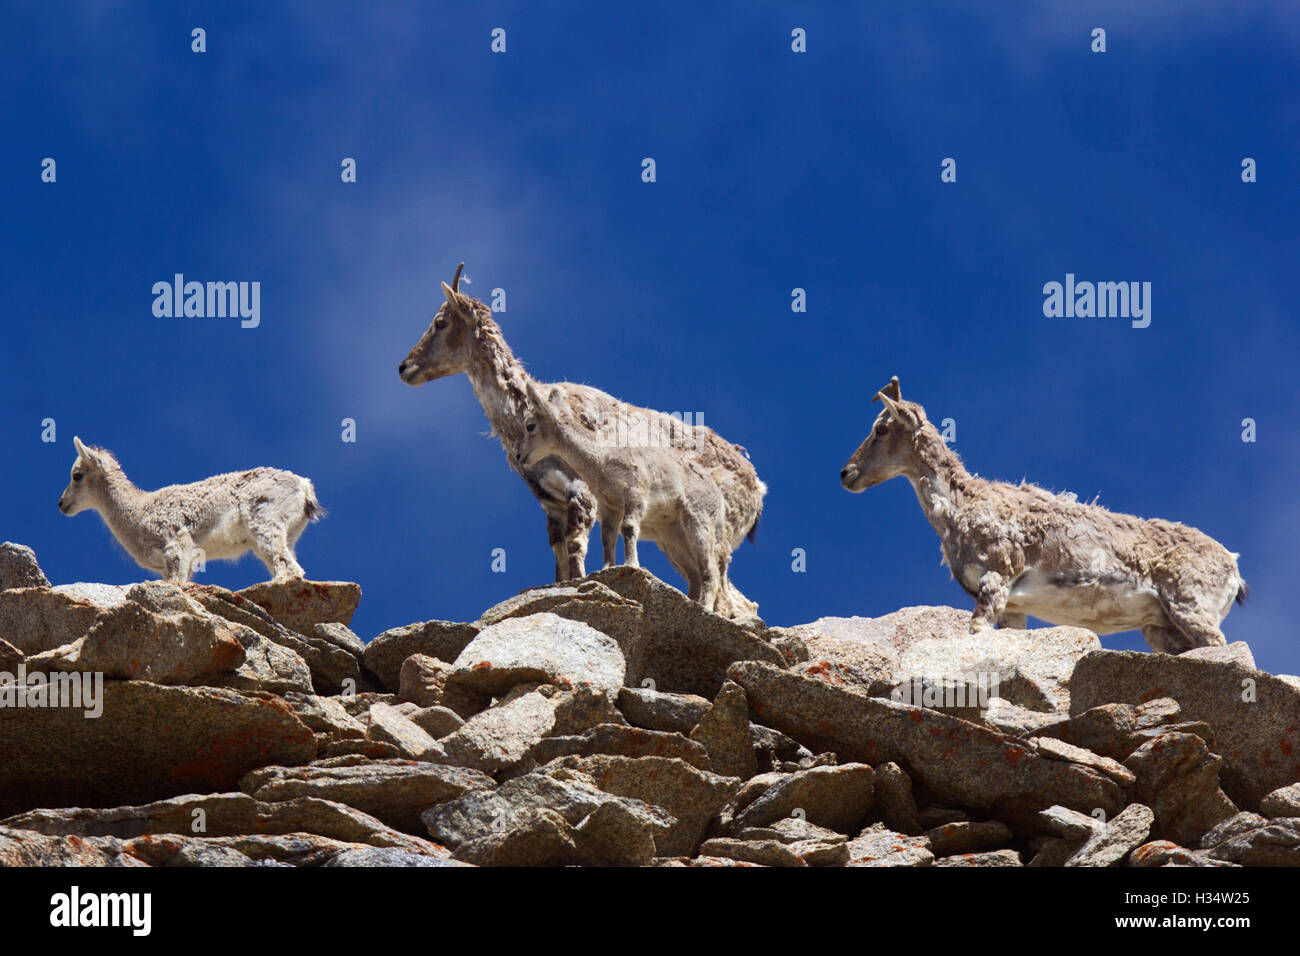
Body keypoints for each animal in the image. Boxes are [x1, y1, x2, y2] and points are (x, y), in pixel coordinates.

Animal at [58, 437, 321, 583]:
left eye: (77, 475)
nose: (61, 504)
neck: (138, 509)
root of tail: (304, 486)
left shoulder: (176, 545)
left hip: (264, 523)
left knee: (289, 567)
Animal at [515, 380, 730, 610]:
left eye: (530, 425)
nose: (519, 455)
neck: (600, 460)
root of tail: (719, 502)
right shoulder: (610, 505)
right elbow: (607, 537)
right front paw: (607, 568)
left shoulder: (634, 492)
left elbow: (628, 528)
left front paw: (631, 564)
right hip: (673, 538)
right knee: (694, 575)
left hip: (698, 522)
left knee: (710, 571)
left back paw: (705, 607)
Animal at [839, 377, 1247, 653]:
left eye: (880, 428)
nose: (846, 473)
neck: (962, 506)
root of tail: (1232, 567)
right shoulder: (1013, 608)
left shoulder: (997, 578)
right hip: (1163, 628)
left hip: (1192, 605)